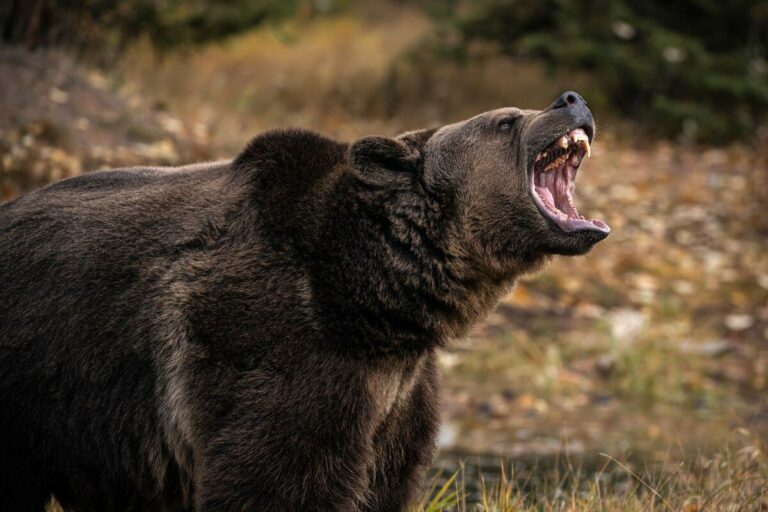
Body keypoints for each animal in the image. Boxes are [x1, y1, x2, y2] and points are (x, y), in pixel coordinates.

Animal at [0, 91, 609, 511]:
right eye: (505, 120)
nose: (572, 99)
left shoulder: (396, 400)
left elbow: (384, 483)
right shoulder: (269, 351)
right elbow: (278, 480)